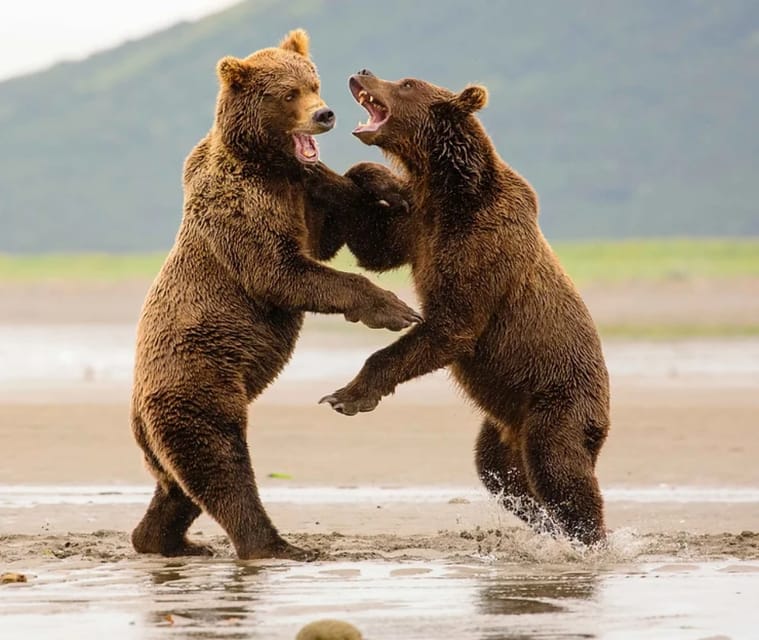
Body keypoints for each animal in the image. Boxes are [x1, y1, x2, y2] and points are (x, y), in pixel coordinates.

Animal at [130, 35, 421, 561]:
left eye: (314, 82)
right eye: (288, 94)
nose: (324, 114)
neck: (270, 163)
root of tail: (137, 413)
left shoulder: (305, 195)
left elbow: (345, 221)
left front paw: (388, 185)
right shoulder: (243, 205)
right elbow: (281, 271)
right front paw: (393, 309)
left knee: (178, 487)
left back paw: (167, 541)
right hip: (198, 385)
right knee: (220, 465)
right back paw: (275, 545)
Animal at [316, 69, 610, 545]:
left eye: (407, 83)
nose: (361, 72)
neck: (448, 188)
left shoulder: (481, 239)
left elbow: (452, 323)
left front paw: (347, 395)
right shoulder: (420, 228)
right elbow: (375, 245)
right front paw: (372, 179)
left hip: (557, 402)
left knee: (559, 470)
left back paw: (587, 539)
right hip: (503, 421)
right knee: (500, 473)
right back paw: (541, 521)